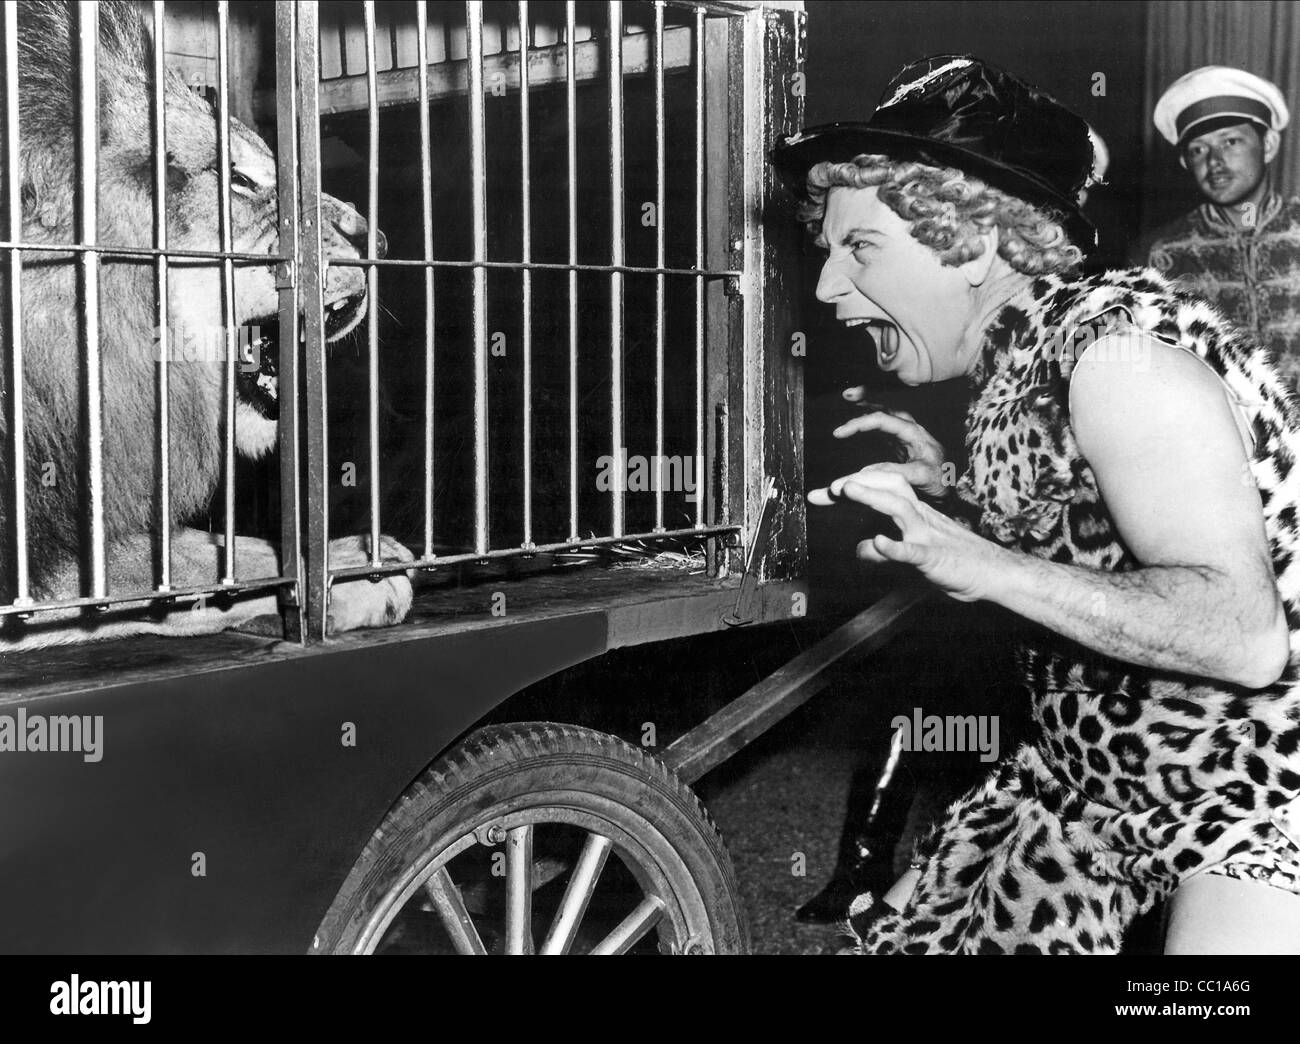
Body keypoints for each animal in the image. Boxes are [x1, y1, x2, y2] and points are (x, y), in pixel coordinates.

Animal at [0, 4, 410, 650]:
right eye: (236, 180)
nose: (379, 242)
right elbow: (168, 572)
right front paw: (352, 573)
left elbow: (195, 547)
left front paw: (349, 556)